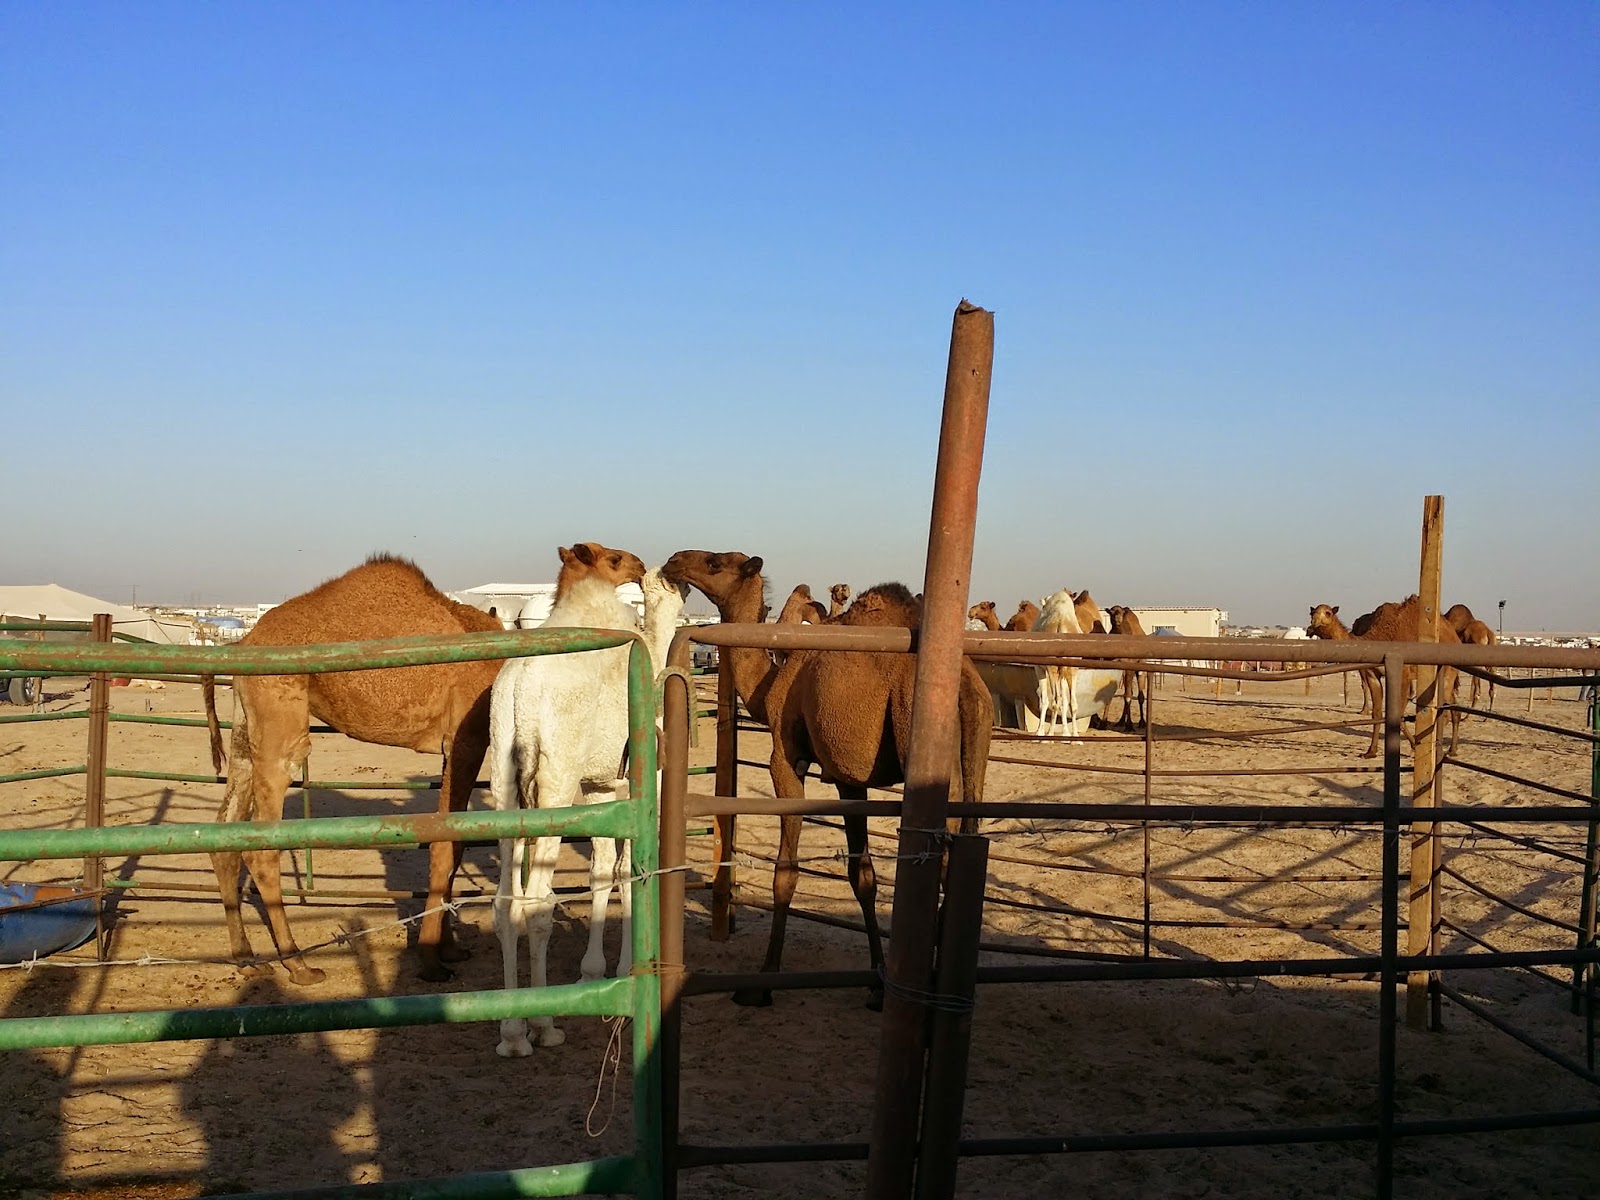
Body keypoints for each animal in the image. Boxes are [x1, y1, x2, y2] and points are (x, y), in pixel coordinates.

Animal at [204, 544, 644, 986]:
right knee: (262, 846)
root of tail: (242, 642)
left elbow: (458, 841)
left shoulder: (459, 746)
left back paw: (245, 955)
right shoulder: (466, 739)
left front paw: (450, 948)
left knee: (226, 830)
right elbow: (447, 842)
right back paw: (296, 962)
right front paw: (431, 960)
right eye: (613, 559)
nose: (641, 567)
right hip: (282, 723)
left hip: (245, 728)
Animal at [489, 562, 682, 1056]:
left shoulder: (598, 786)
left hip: (504, 774)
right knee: (537, 901)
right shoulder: (639, 783)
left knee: (505, 901)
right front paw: (626, 971)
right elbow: (630, 871)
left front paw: (594, 974)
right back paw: (543, 1025)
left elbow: (601, 869)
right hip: (556, 778)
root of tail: (522, 687)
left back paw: (510, 1031)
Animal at [662, 550, 993, 1007]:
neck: (770, 685)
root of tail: (964, 684)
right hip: (977, 748)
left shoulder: (785, 759)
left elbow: (785, 872)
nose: (674, 561)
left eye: (715, 563)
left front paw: (763, 981)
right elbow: (863, 876)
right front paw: (875, 982)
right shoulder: (848, 778)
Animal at [1306, 595, 1461, 758]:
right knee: (1453, 709)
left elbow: (1398, 715)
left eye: (1328, 613)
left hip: (1448, 670)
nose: (1312, 625)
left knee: (1444, 710)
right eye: (1312, 613)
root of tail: (1454, 636)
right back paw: (1452, 750)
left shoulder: (1404, 673)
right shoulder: (1372, 675)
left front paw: (1414, 745)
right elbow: (1376, 714)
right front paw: (1370, 752)